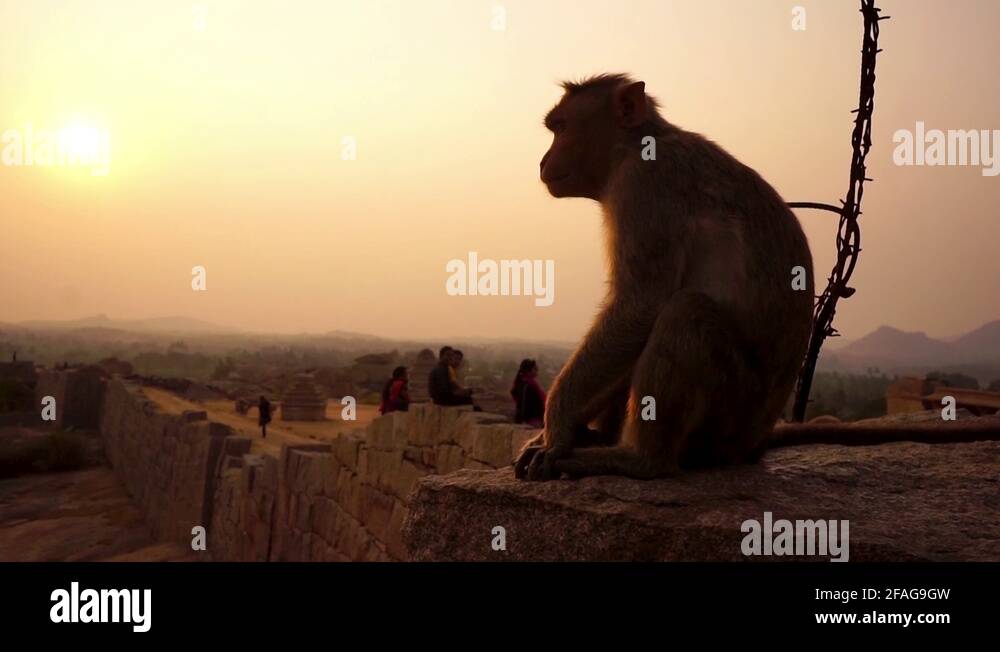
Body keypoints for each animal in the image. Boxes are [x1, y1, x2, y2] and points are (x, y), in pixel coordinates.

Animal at [515, 73, 1000, 482]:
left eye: (561, 127)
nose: (542, 160)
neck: (635, 145)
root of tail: (755, 442)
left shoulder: (645, 183)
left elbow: (640, 304)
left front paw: (557, 428)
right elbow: (633, 320)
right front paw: (563, 434)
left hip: (730, 413)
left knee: (686, 311)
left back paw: (640, 460)